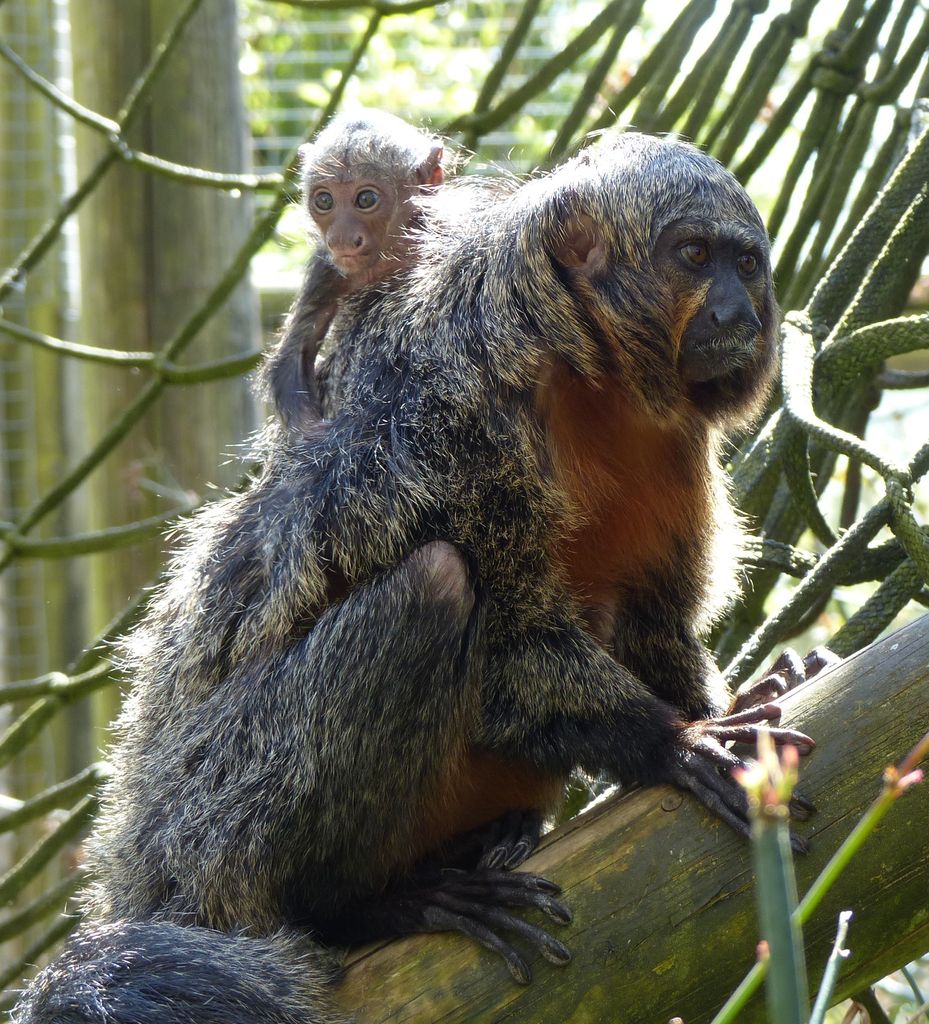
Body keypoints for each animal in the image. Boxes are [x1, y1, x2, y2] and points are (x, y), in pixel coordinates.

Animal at [263, 110, 445, 433]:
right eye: (324, 201)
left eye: (366, 199)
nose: (341, 239)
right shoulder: (326, 268)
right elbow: (294, 352)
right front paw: (313, 436)